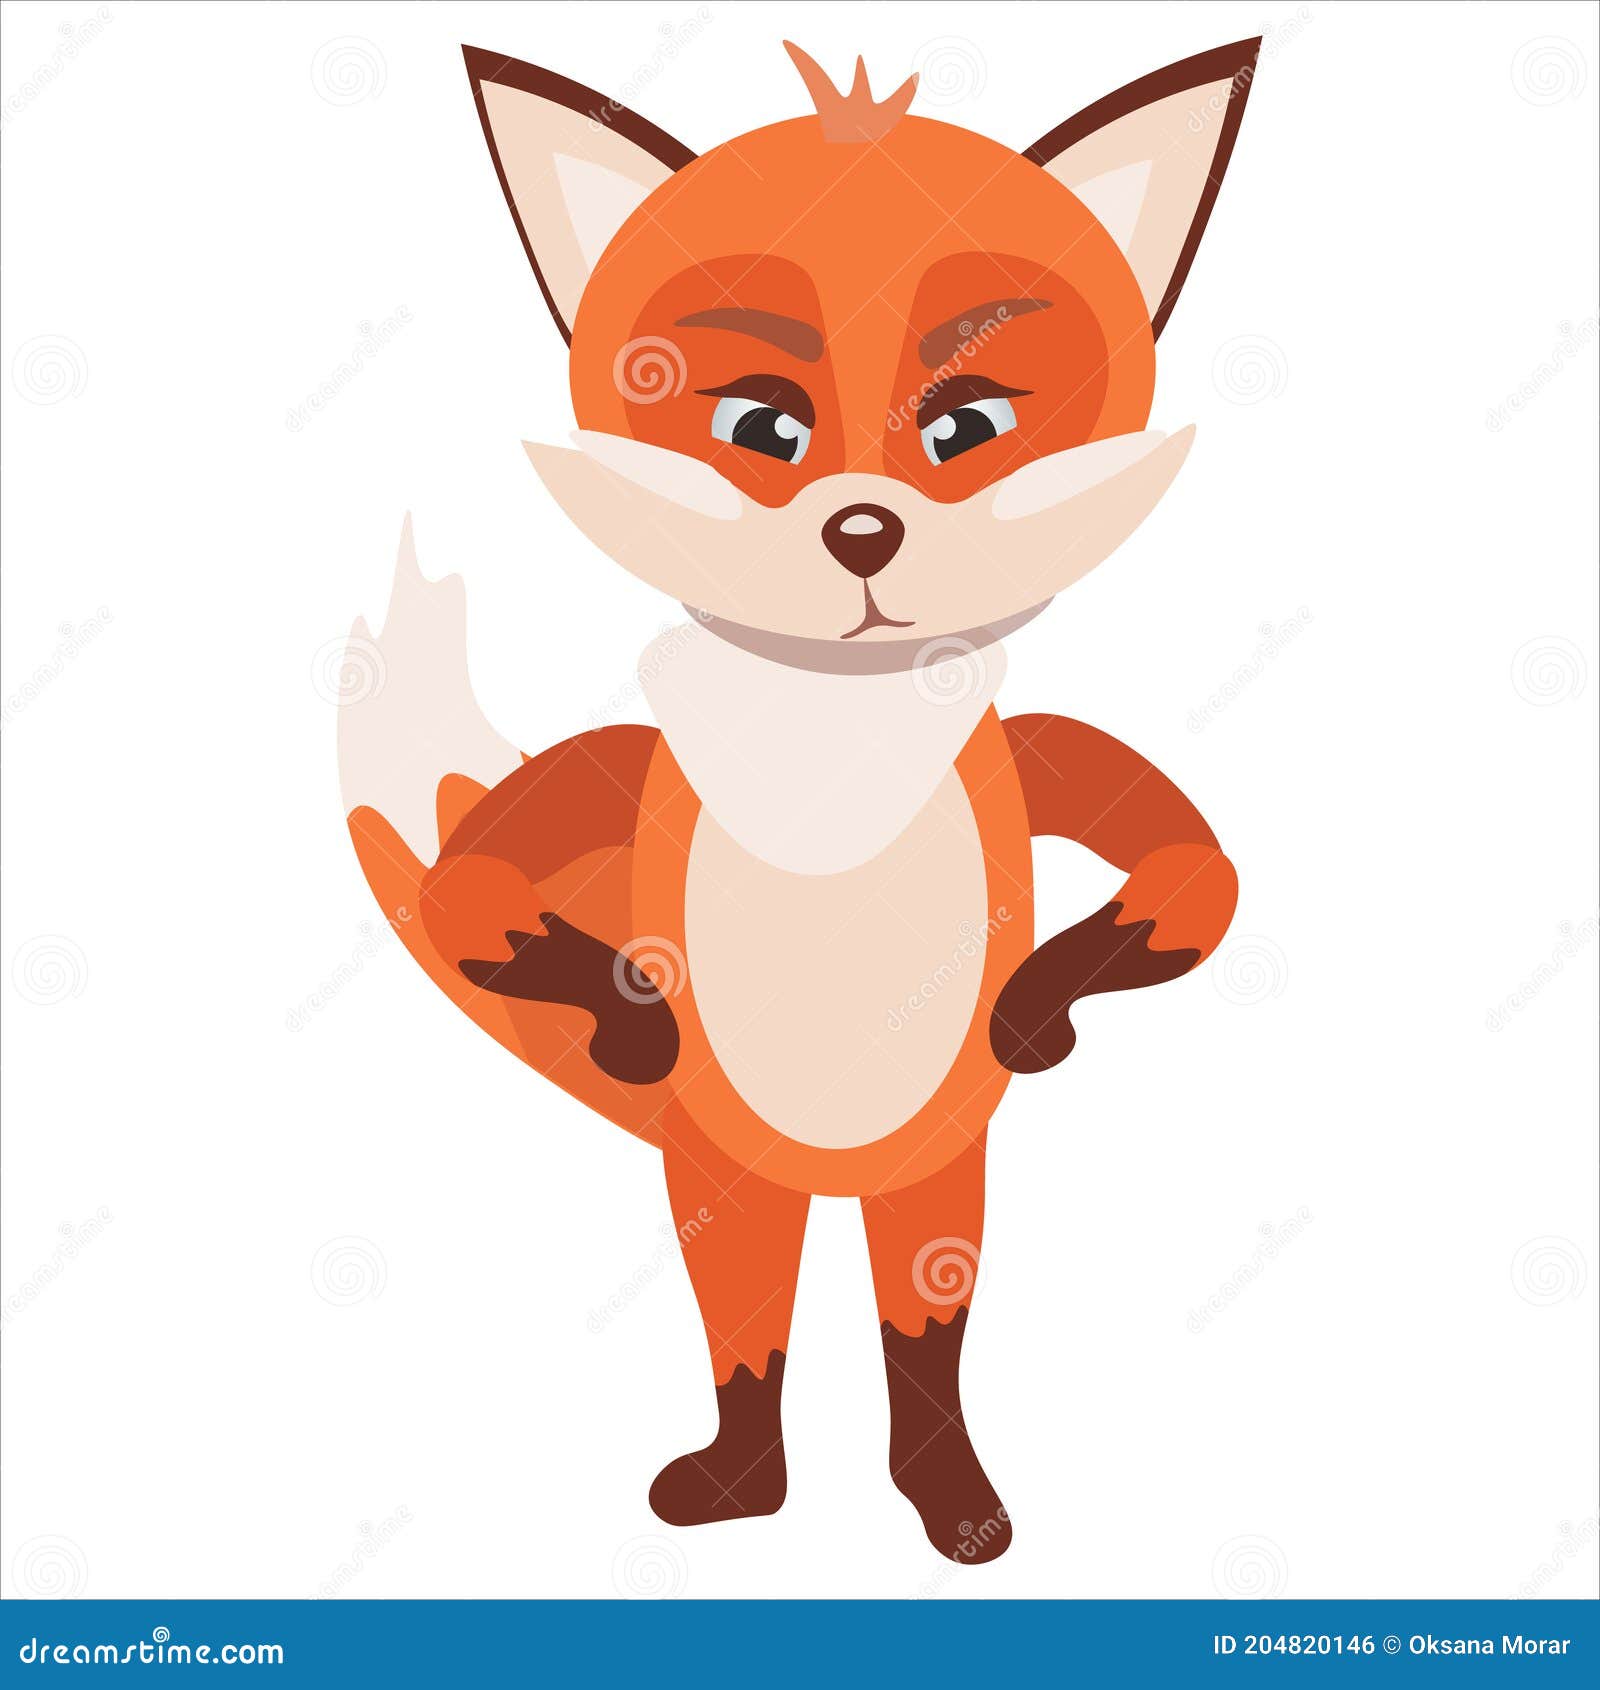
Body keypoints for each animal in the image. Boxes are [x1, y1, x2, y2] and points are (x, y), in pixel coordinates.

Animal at [340, 36, 1255, 1564]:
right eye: (759, 427)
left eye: (967, 427)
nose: (864, 528)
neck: (839, 751)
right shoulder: (616, 774)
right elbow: (477, 886)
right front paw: (633, 1021)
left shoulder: (1043, 776)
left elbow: (1195, 876)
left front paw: (1035, 1013)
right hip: (729, 1175)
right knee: (746, 1324)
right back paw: (739, 1483)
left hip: (928, 1175)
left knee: (919, 1321)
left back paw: (947, 1498)